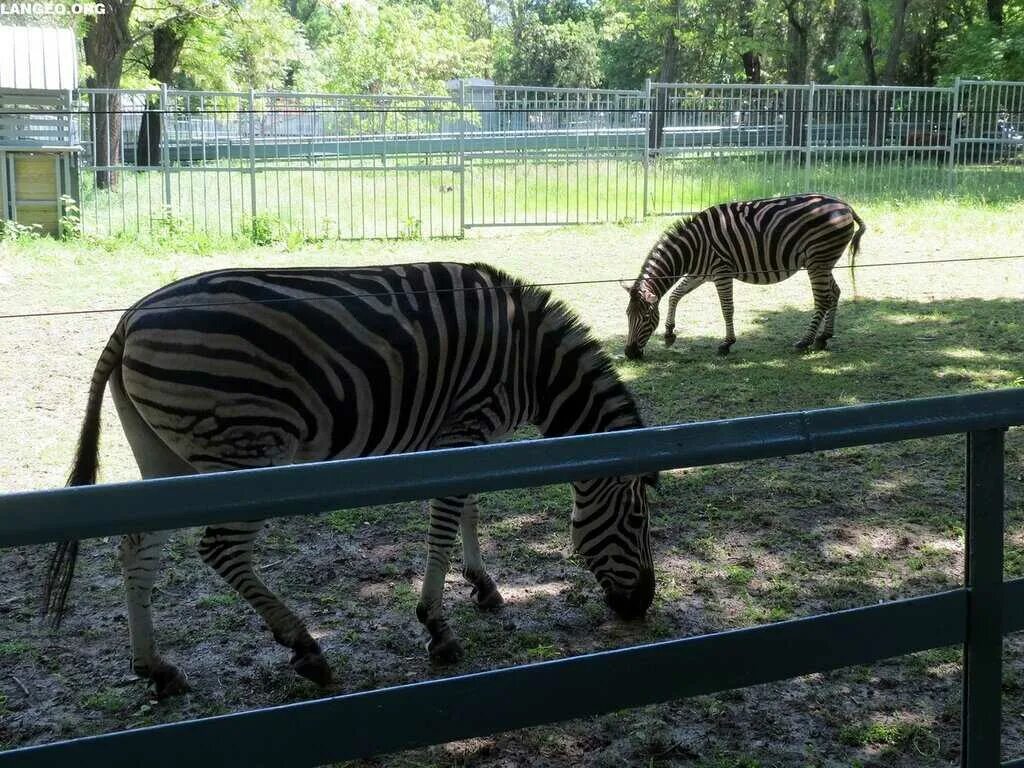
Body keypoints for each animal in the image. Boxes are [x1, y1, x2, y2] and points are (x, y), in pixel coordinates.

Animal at [44, 262, 655, 700]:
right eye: (637, 518)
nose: (643, 605)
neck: (529, 361)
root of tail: (130, 318)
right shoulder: (466, 423)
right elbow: (446, 519)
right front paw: (437, 626)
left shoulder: (468, 436)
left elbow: (470, 507)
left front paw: (483, 586)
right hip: (243, 452)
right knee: (219, 549)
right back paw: (306, 648)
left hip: (165, 459)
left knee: (137, 548)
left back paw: (156, 667)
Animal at [622, 193, 864, 360]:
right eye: (627, 315)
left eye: (645, 318)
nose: (629, 354)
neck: (693, 248)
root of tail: (845, 205)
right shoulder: (701, 273)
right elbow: (675, 296)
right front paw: (669, 334)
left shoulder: (721, 272)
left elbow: (727, 308)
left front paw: (727, 343)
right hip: (823, 262)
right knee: (834, 293)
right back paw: (823, 338)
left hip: (817, 260)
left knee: (822, 299)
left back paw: (805, 341)